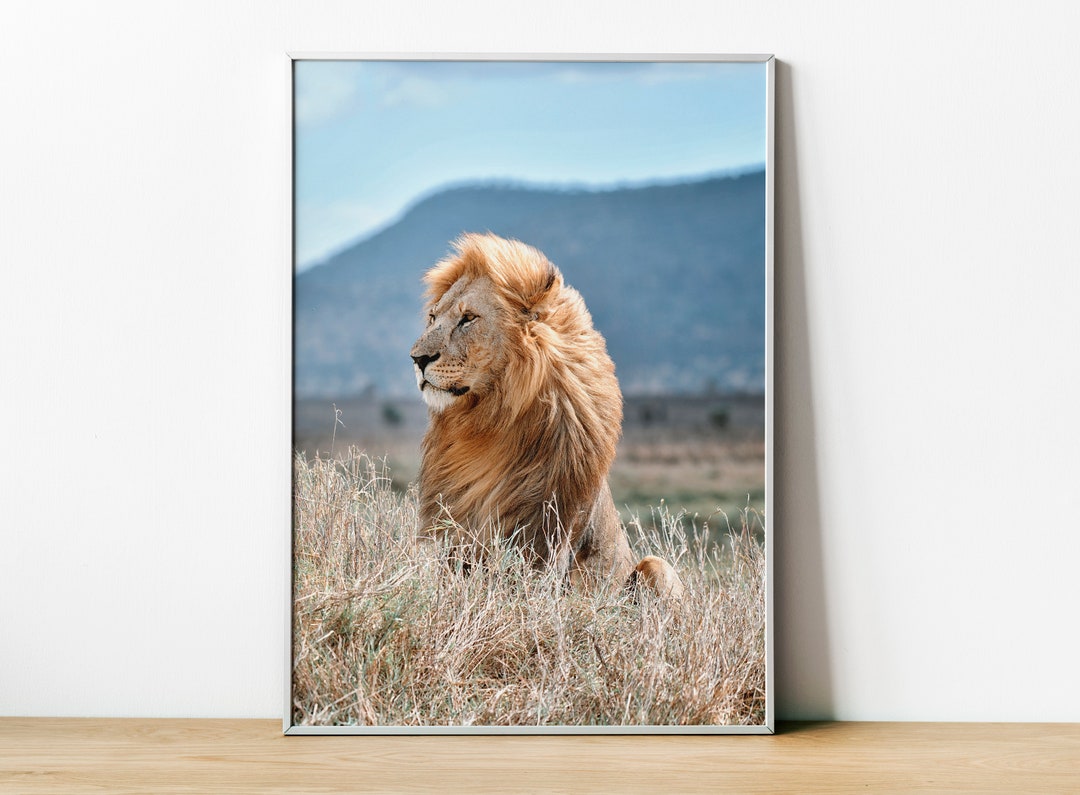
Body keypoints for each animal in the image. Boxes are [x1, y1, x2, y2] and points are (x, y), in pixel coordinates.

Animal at [410, 232, 683, 599]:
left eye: (468, 318)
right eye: (432, 317)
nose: (417, 359)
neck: (488, 418)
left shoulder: (545, 533)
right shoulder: (455, 531)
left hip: (656, 566)